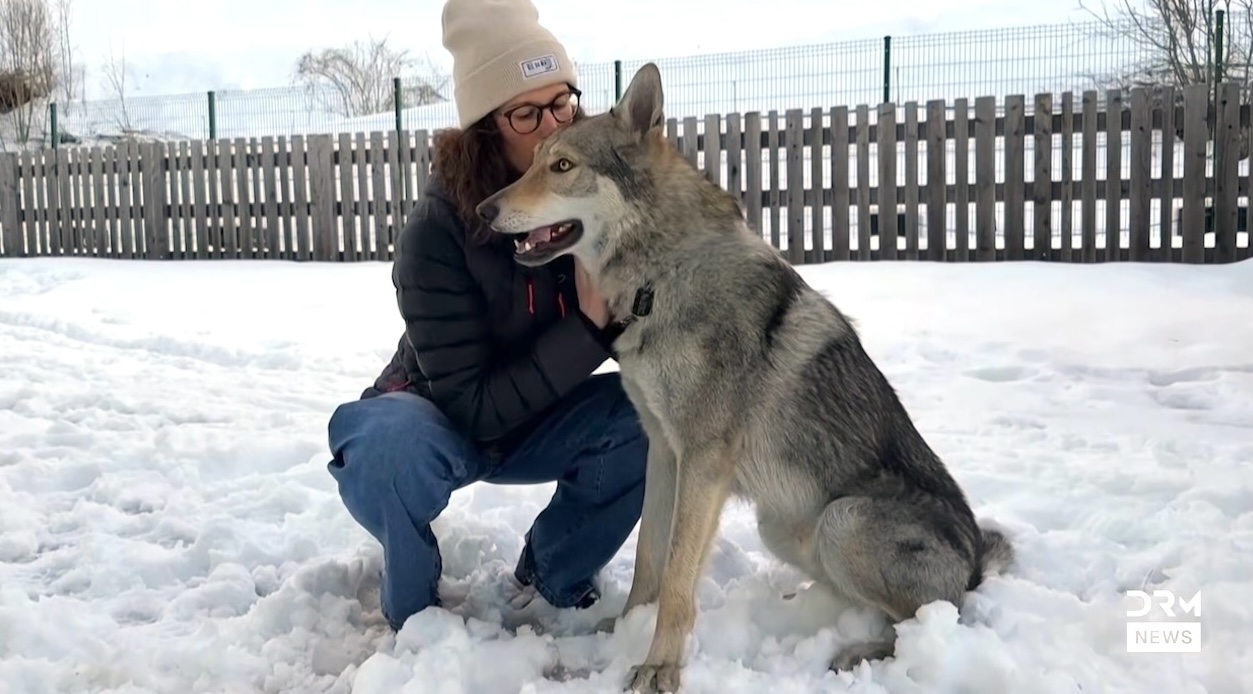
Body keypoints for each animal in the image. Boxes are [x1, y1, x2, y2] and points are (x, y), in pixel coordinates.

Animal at [475, 62, 1015, 693]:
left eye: (563, 166)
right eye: (535, 160)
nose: (484, 211)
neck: (660, 275)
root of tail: (975, 564)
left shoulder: (704, 460)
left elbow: (678, 581)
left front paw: (659, 667)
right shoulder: (664, 450)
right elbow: (650, 561)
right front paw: (625, 631)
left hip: (841, 521)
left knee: (920, 623)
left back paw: (853, 653)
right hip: (780, 527)